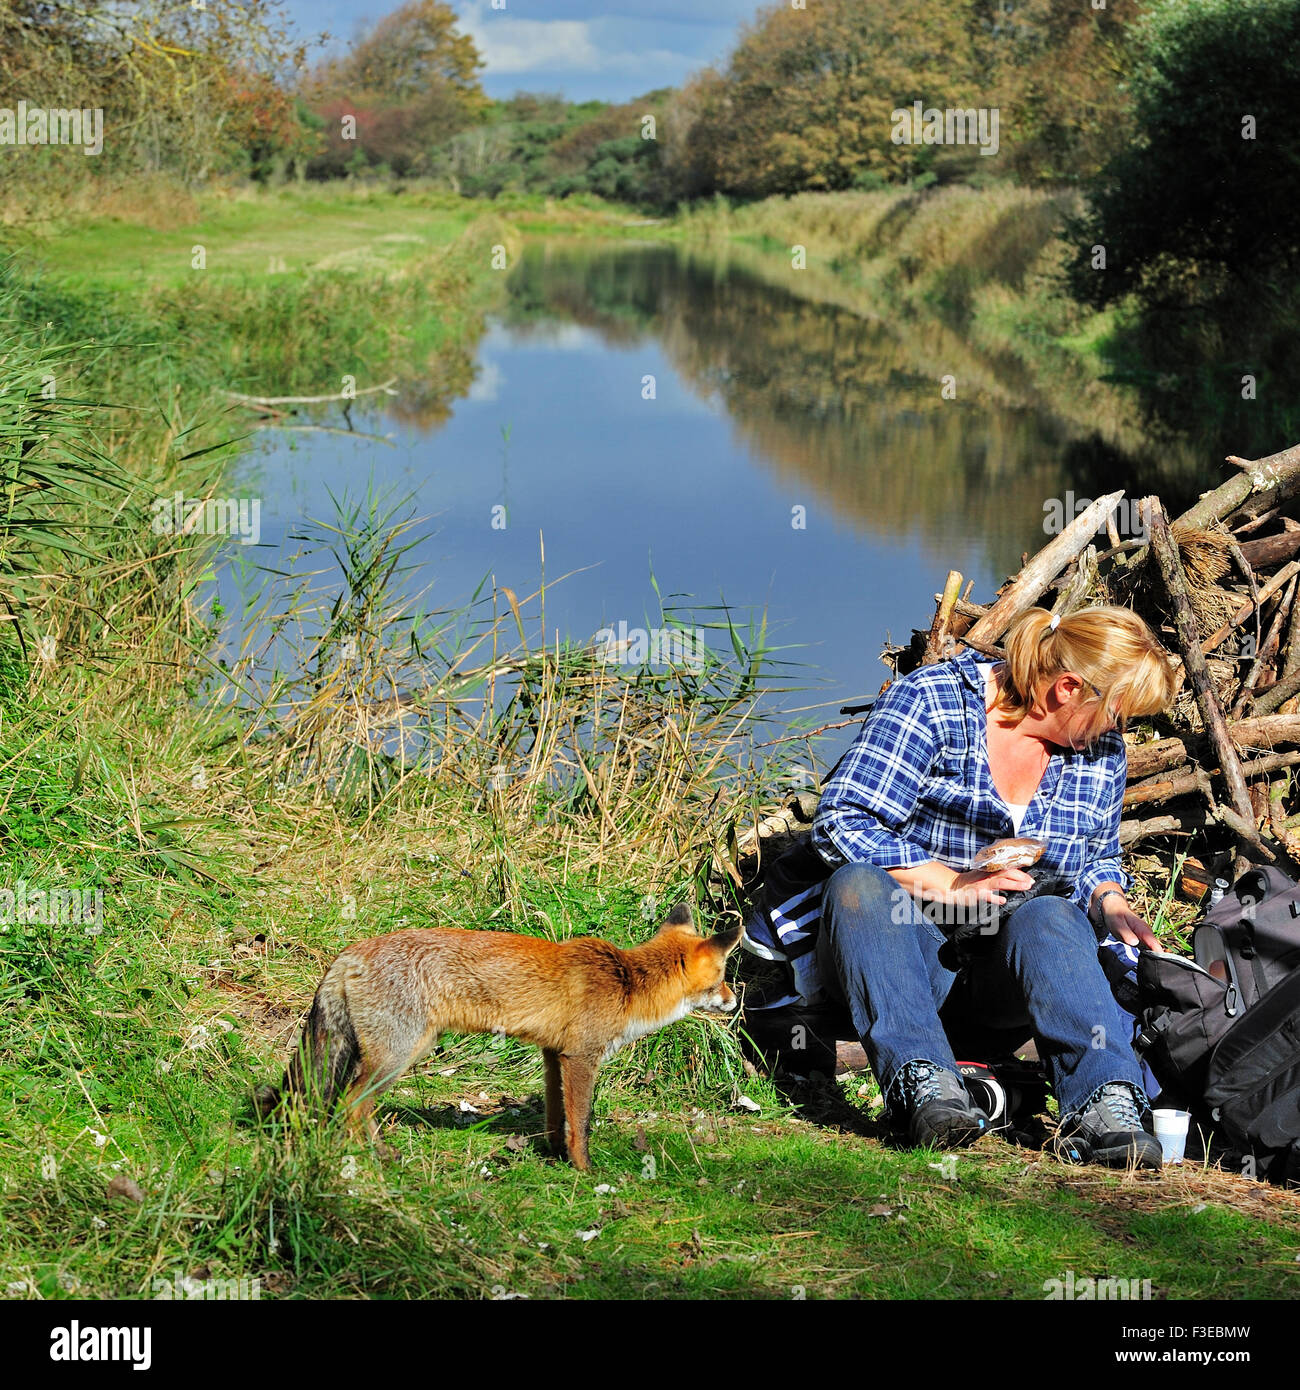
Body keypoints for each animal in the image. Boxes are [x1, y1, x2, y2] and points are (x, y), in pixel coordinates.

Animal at [256, 903, 743, 1169]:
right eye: (722, 976)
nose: (736, 1001)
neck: (627, 982)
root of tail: (349, 954)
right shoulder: (582, 1057)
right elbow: (581, 1123)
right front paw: (584, 1170)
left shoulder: (554, 1055)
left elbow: (556, 1116)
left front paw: (553, 1156)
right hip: (400, 1054)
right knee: (351, 1105)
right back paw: (379, 1157)